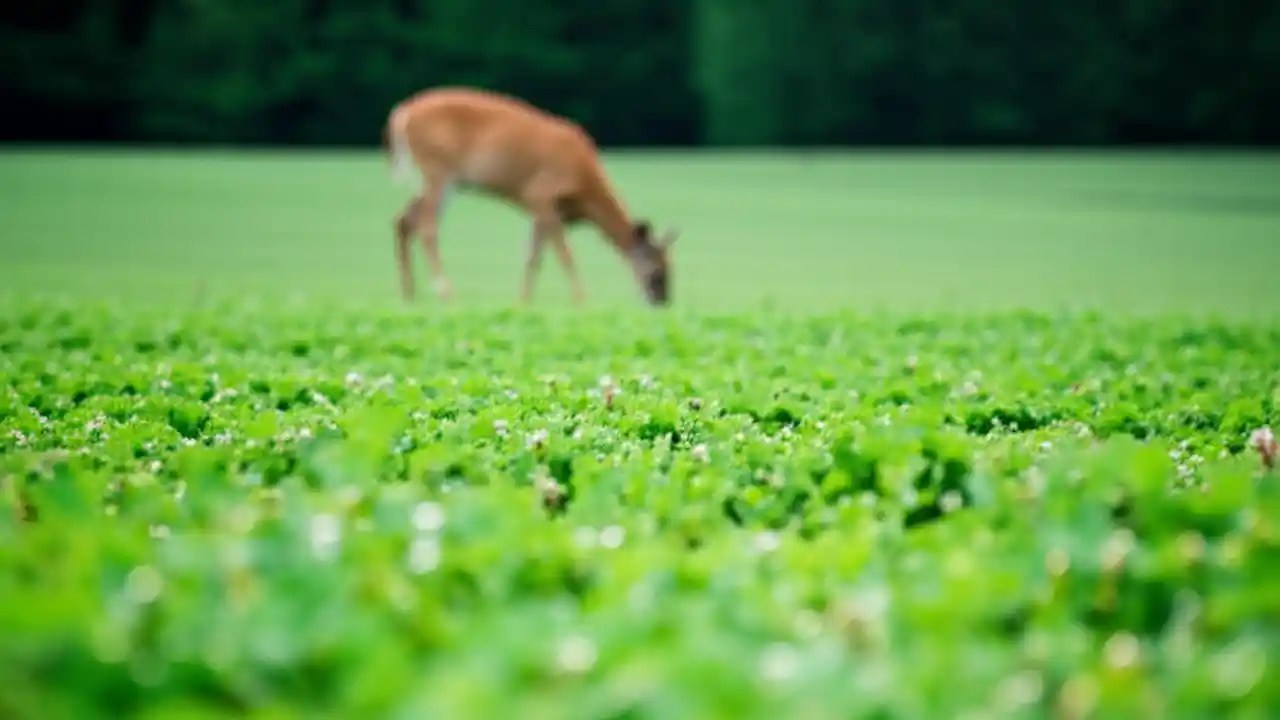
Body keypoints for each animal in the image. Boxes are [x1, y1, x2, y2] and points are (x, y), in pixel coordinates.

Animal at [382, 86, 679, 307]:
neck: (584, 188)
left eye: (671, 267)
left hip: (435, 179)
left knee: (403, 220)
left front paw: (523, 302)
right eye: (656, 271)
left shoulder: (540, 210)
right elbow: (564, 253)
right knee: (427, 227)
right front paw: (581, 300)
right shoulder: (541, 194)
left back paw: (409, 294)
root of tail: (401, 115)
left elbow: (533, 255)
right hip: (437, 169)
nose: (662, 302)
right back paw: (445, 293)